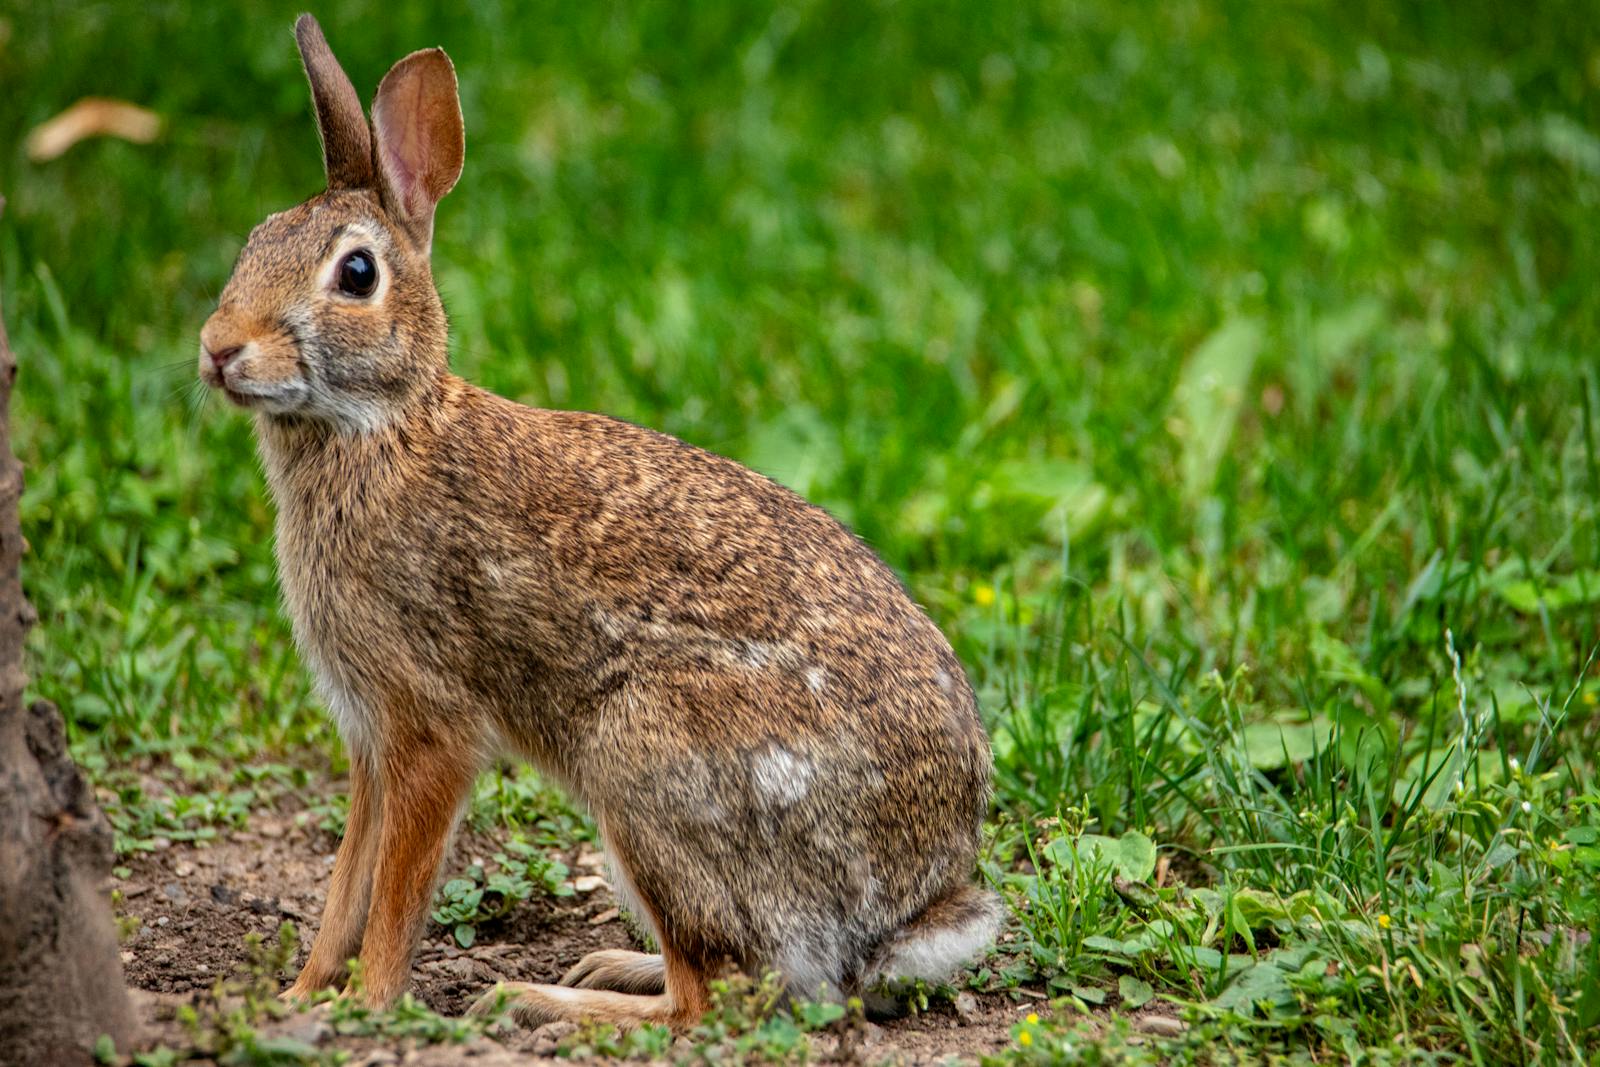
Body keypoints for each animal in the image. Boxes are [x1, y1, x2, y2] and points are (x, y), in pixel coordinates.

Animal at [197, 14, 1000, 1029]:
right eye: (257, 238)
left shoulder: (428, 726)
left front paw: (368, 1009)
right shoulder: (371, 738)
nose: (218, 349)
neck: (381, 426)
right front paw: (299, 994)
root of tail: (907, 911)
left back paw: (540, 997)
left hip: (643, 762)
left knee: (714, 999)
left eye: (356, 273)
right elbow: (347, 880)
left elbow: (396, 891)